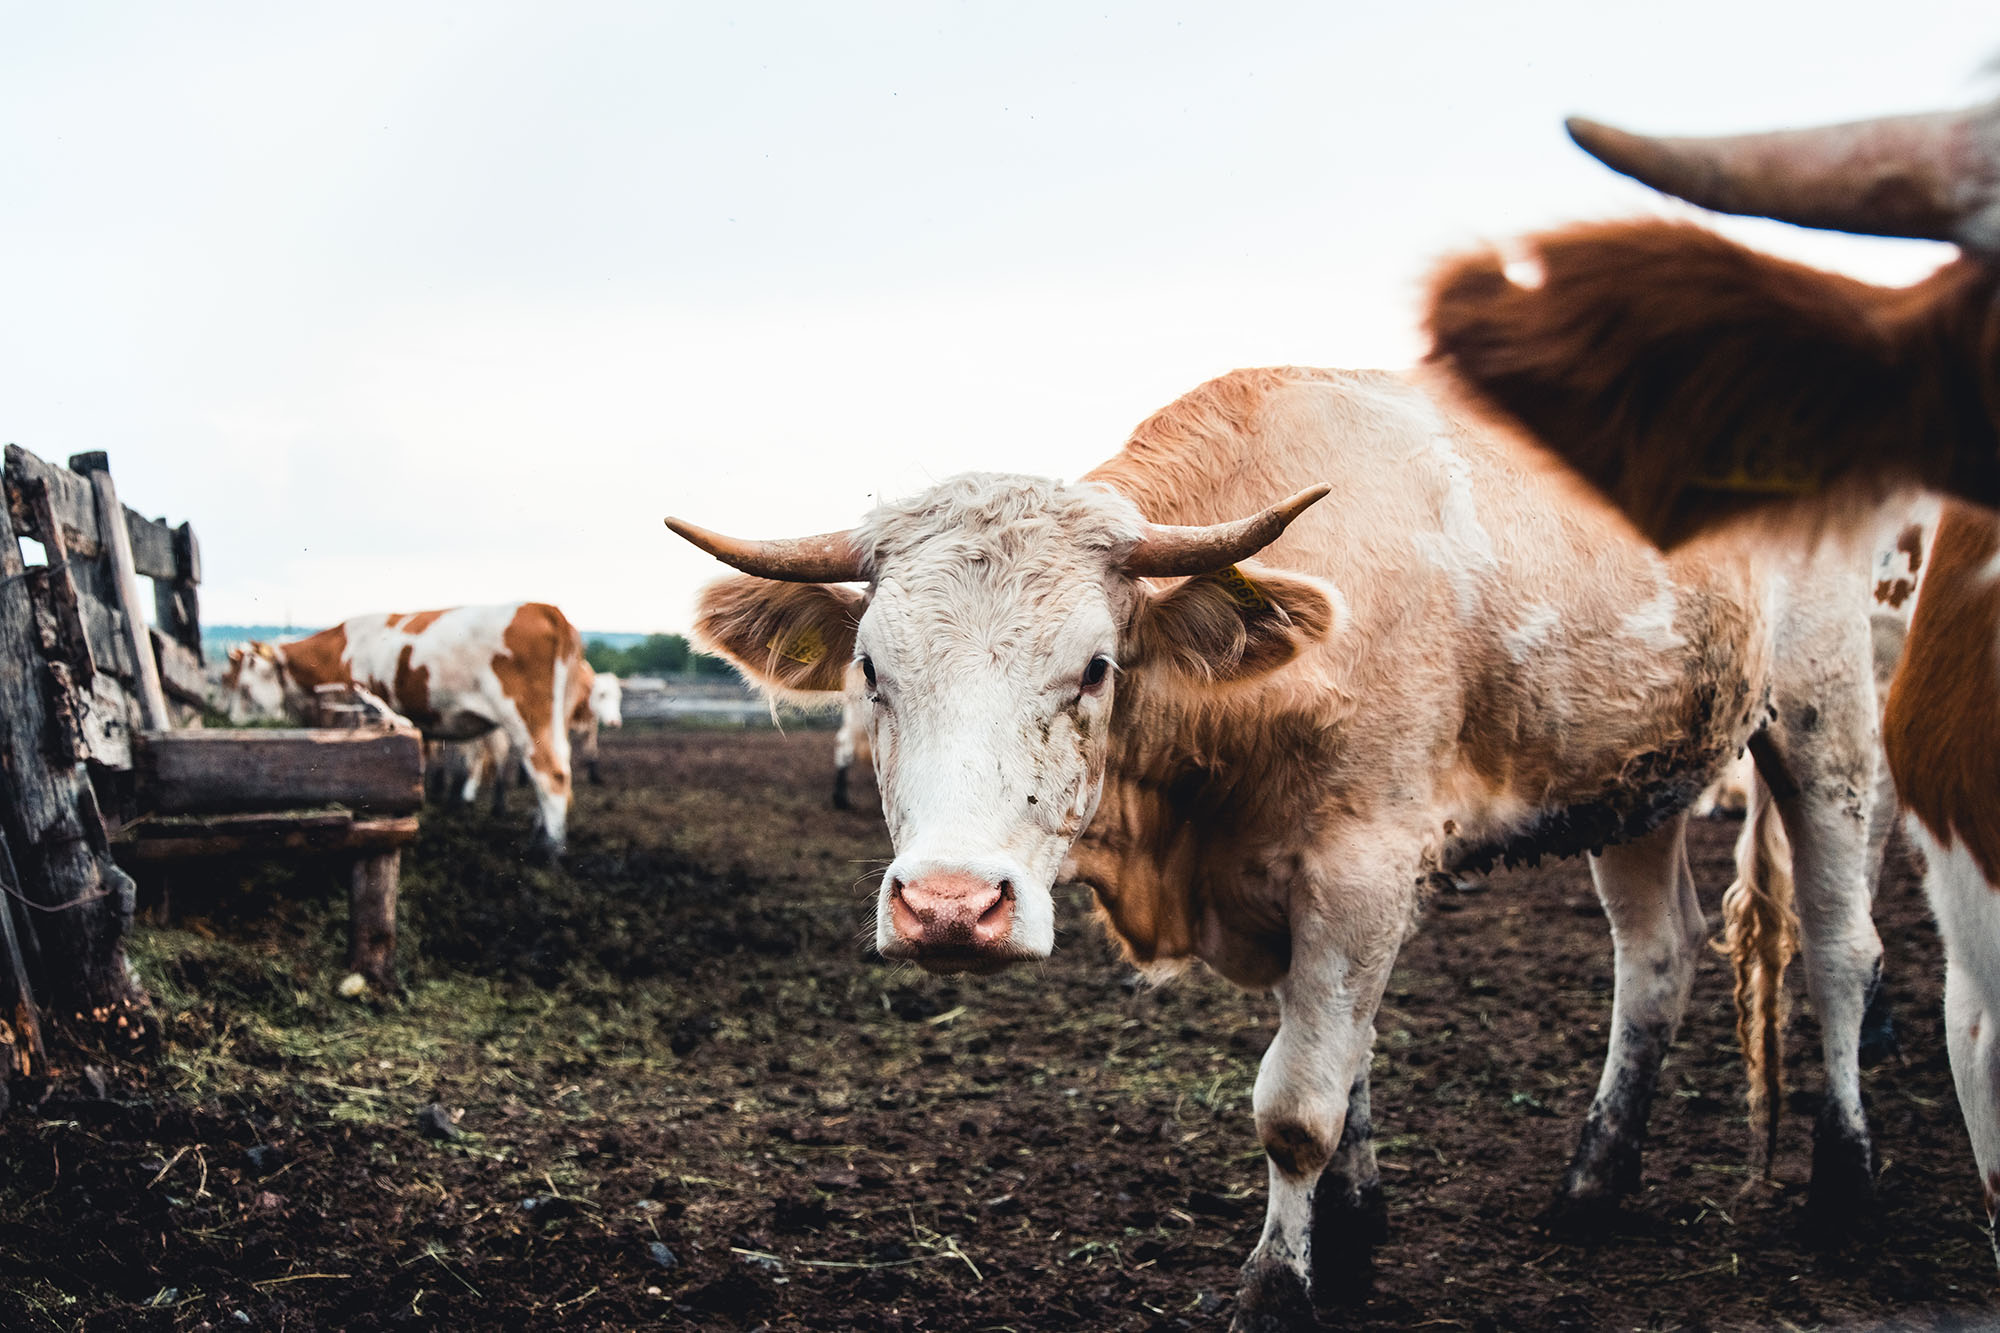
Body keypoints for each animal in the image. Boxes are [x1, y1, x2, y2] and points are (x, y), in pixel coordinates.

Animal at [224, 602, 584, 858]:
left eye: (244, 688)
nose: (231, 721)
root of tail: (545, 609)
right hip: (555, 717)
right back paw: (539, 831)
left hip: (526, 715)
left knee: (550, 774)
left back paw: (549, 851)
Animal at [667, 364, 1885, 1328]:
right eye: (871, 669)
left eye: (1095, 666)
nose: (951, 907)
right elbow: (1348, 1060)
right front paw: (1349, 1240)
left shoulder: (1361, 870)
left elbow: (1299, 1098)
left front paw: (1279, 1287)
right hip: (1637, 780)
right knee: (1658, 956)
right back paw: (1593, 1185)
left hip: (1824, 716)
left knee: (1842, 946)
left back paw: (1843, 1188)